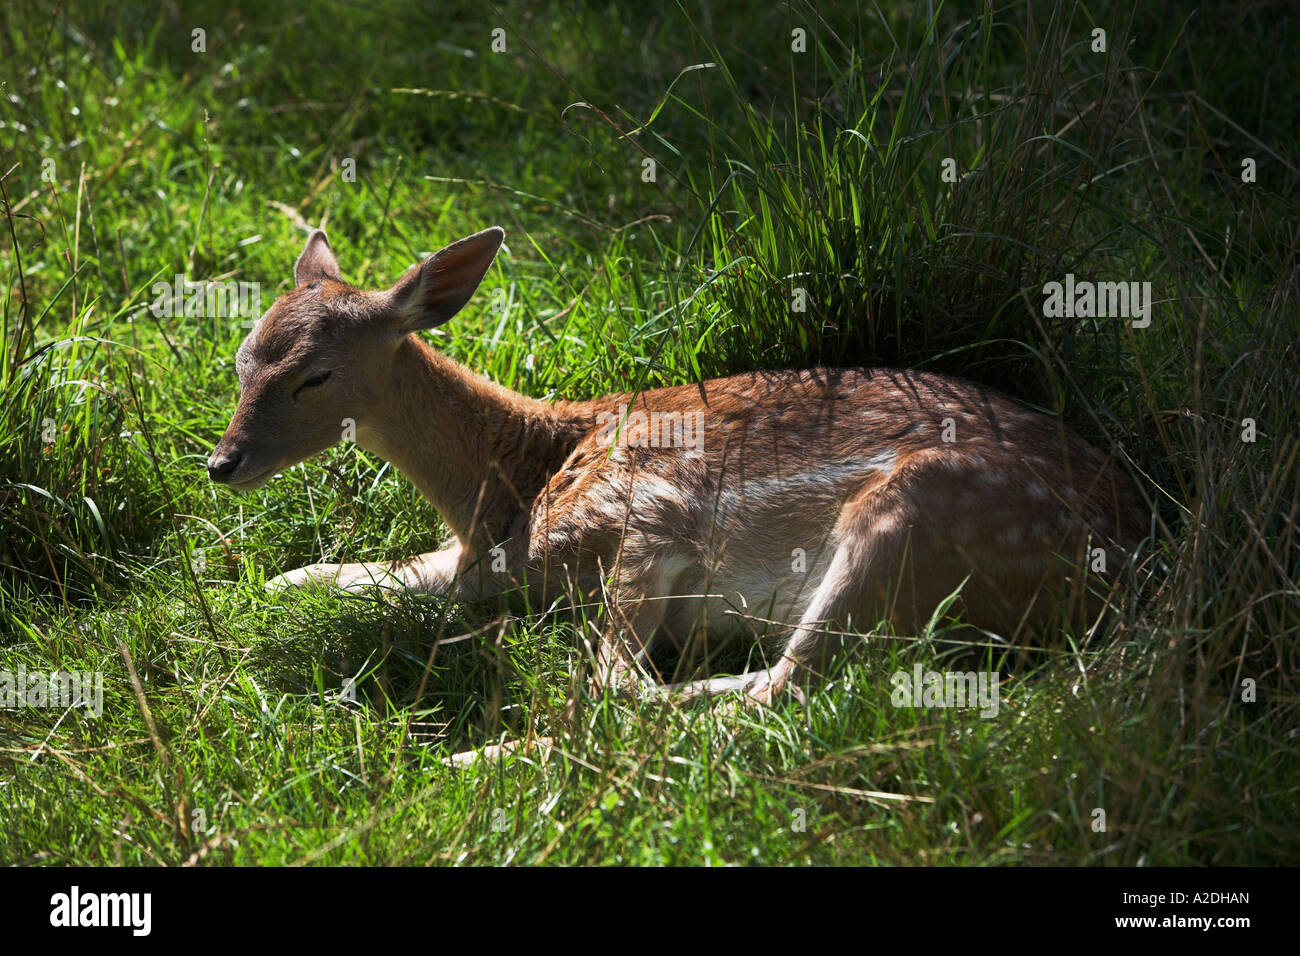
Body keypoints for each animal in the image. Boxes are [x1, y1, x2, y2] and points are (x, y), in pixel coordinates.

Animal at [208, 225, 1146, 720]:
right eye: (244, 356)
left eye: (316, 375)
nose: (222, 463)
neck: (522, 476)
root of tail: (1133, 562)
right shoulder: (481, 560)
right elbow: (343, 572)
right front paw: (253, 590)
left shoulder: (650, 513)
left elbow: (613, 670)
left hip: (918, 512)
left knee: (761, 686)